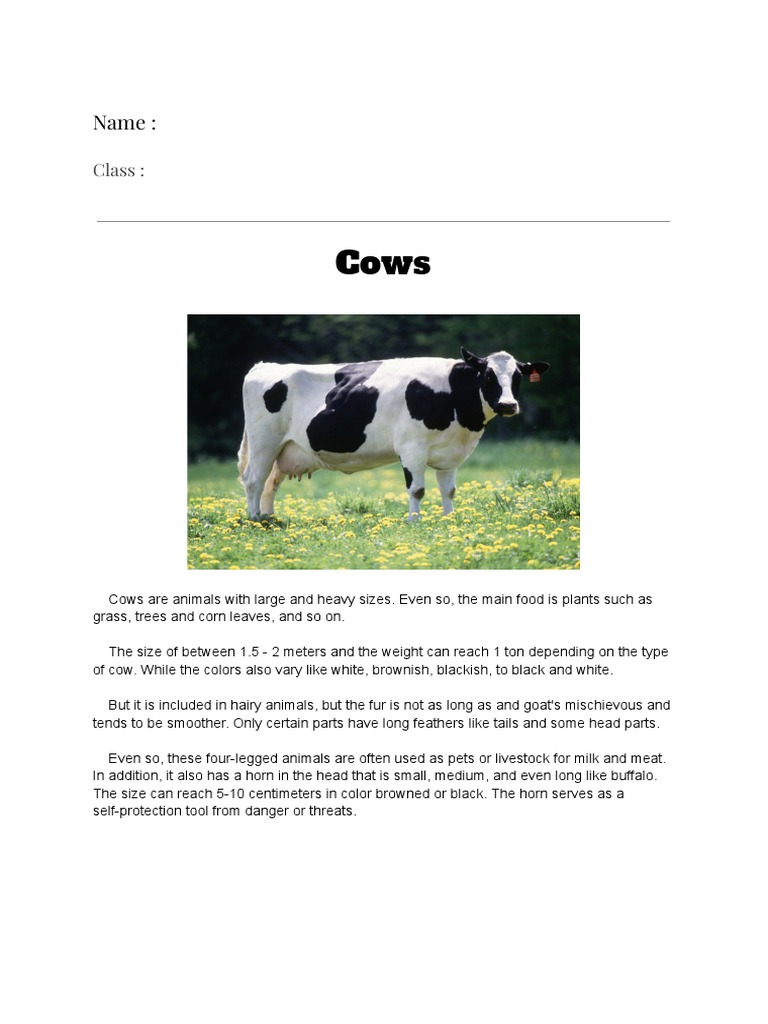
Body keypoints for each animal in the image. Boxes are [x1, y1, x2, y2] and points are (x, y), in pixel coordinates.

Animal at [238, 348, 550, 521]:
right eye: (488, 376)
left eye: (518, 377)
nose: (508, 405)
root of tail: (264, 366)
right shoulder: (412, 448)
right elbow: (417, 489)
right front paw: (414, 521)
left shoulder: (450, 454)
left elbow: (448, 490)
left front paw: (449, 519)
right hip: (264, 441)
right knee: (254, 480)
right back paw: (255, 519)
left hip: (284, 449)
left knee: (271, 483)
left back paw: (269, 517)